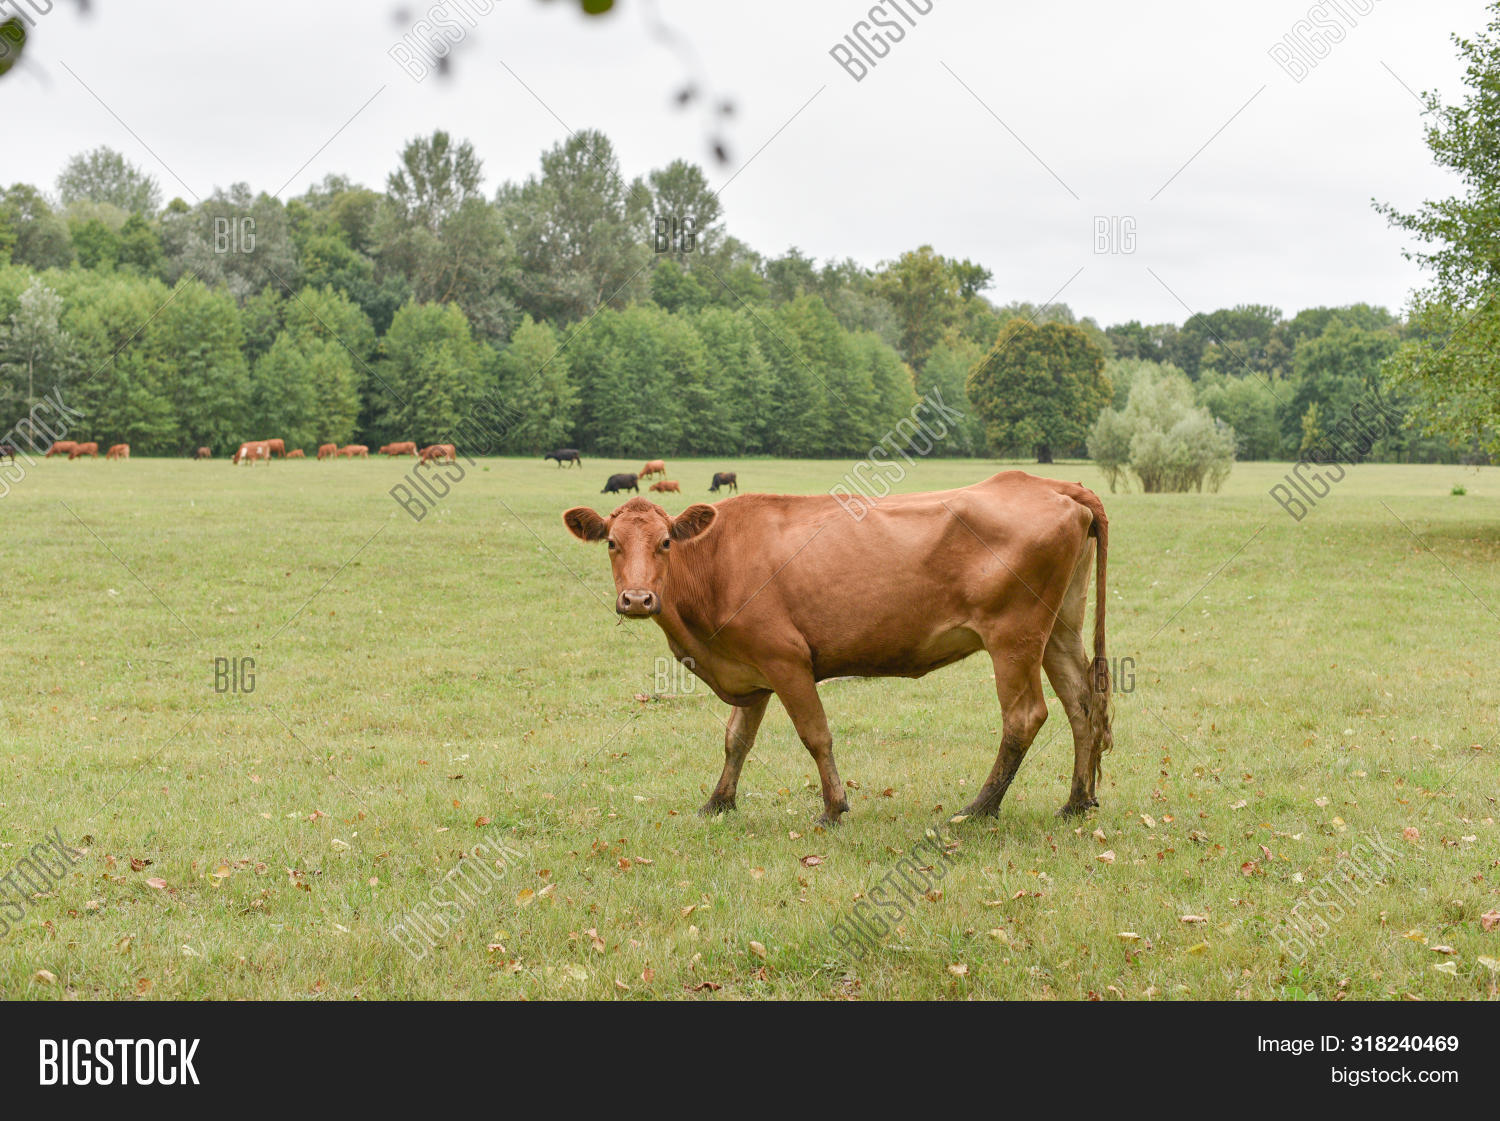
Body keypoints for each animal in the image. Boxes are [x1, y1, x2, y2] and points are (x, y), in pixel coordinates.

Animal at [562, 471, 1112, 826]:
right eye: (611, 542)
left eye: (665, 543)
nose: (637, 598)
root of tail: (1048, 484)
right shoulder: (751, 668)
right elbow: (737, 739)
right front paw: (718, 803)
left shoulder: (785, 659)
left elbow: (816, 735)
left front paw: (833, 807)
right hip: (1059, 628)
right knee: (1083, 705)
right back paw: (1076, 802)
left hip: (1014, 636)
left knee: (1025, 715)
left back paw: (980, 808)